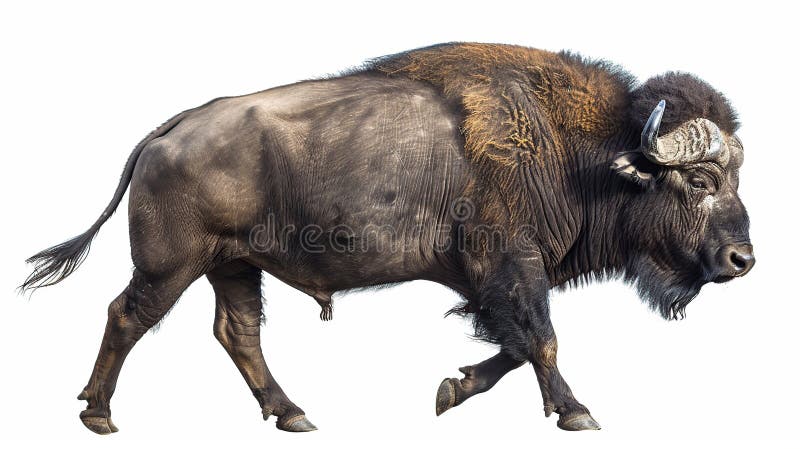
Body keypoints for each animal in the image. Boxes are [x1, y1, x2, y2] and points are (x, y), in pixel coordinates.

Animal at [22, 42, 754, 433]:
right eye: (700, 178)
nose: (742, 258)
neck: (582, 150)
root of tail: (168, 131)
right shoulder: (513, 268)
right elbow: (539, 340)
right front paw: (577, 412)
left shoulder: (491, 283)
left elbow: (516, 347)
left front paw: (451, 389)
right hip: (173, 264)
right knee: (128, 314)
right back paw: (98, 414)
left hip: (234, 265)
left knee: (238, 332)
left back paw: (293, 414)